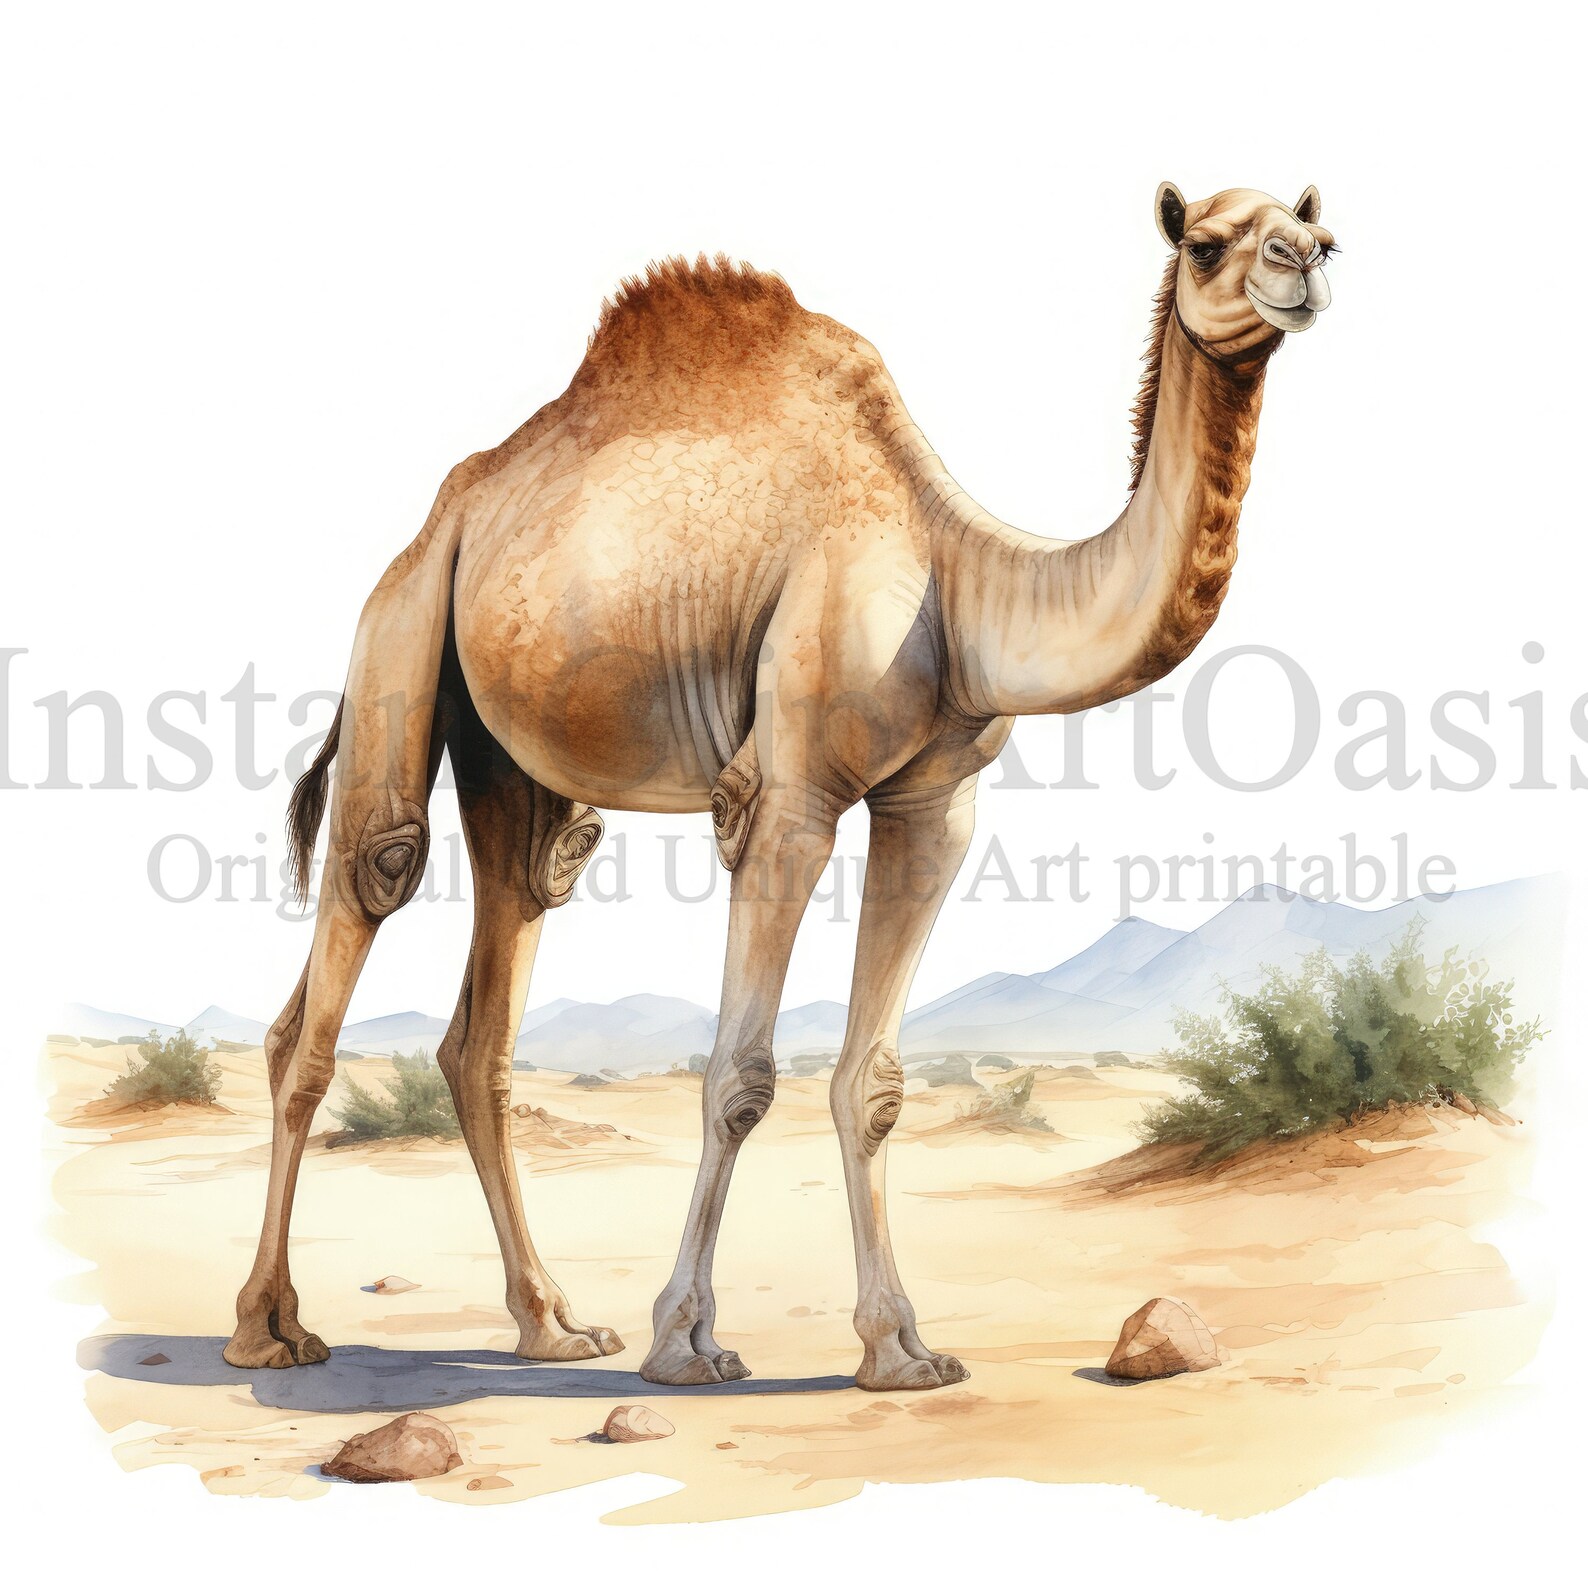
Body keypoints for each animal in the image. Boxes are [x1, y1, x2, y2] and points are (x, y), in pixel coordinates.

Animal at [226, 183, 1335, 1391]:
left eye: (1310, 226)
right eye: (1208, 242)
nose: (1304, 264)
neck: (961, 578)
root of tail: (445, 514)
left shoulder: (933, 806)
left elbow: (874, 1081)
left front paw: (901, 1349)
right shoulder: (789, 793)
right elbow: (741, 1075)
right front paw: (685, 1342)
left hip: (505, 752)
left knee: (494, 975)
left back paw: (552, 1325)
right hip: (399, 632)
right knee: (364, 899)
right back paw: (269, 1330)